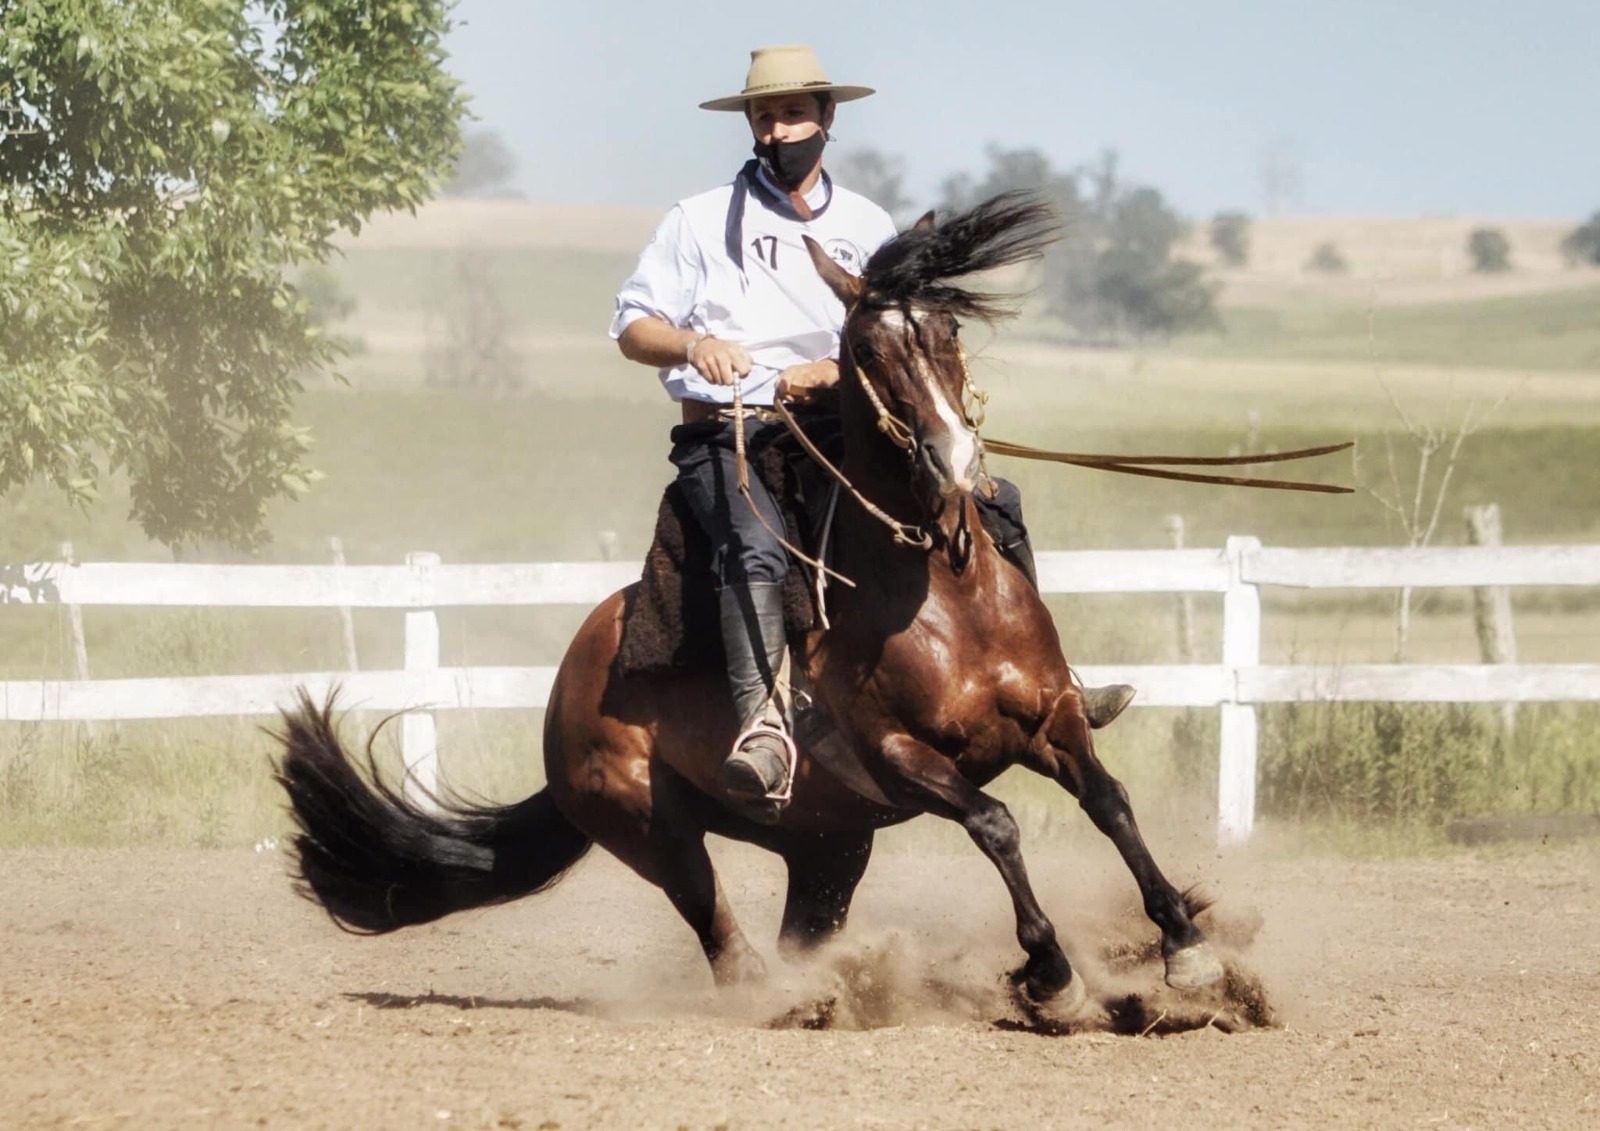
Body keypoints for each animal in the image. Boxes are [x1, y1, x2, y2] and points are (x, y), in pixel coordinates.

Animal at [274, 193, 1224, 1017]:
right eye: (866, 350)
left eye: (947, 329)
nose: (954, 461)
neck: (946, 598)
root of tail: (565, 691)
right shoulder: (899, 755)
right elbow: (994, 823)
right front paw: (1053, 971)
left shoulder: (1050, 718)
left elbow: (1110, 802)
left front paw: (1186, 945)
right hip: (653, 829)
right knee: (721, 933)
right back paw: (787, 998)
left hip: (828, 846)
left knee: (804, 922)